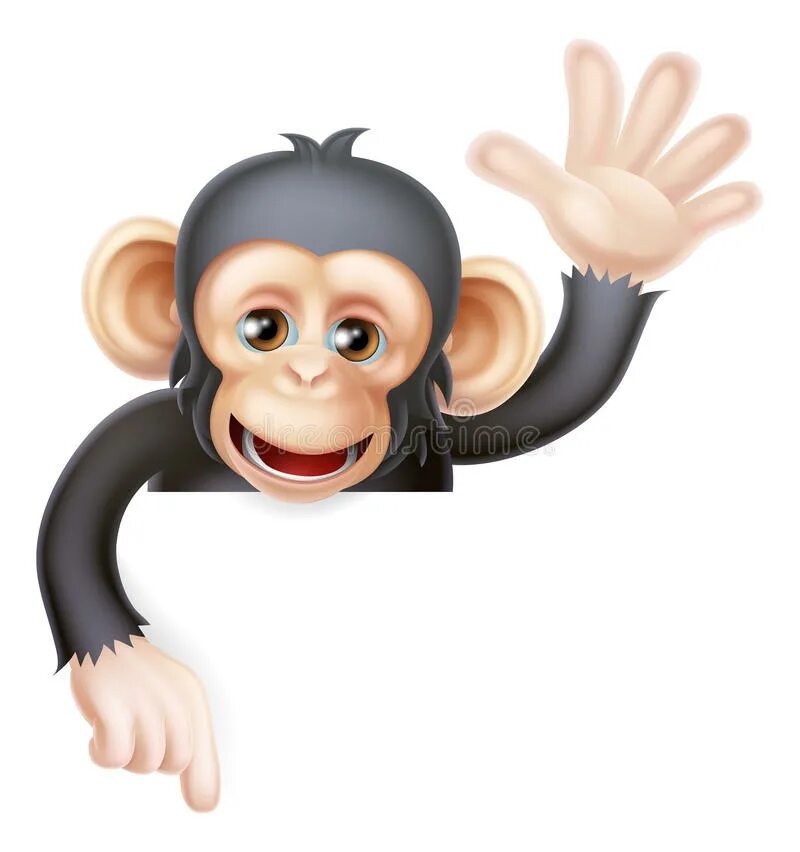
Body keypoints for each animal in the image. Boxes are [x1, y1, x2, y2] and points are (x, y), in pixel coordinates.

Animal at [37, 43, 760, 811]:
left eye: (357, 339)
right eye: (263, 328)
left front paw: (622, 220)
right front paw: (139, 688)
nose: (308, 376)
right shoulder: (153, 426)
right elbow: (76, 513)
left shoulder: (431, 431)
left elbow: (546, 405)